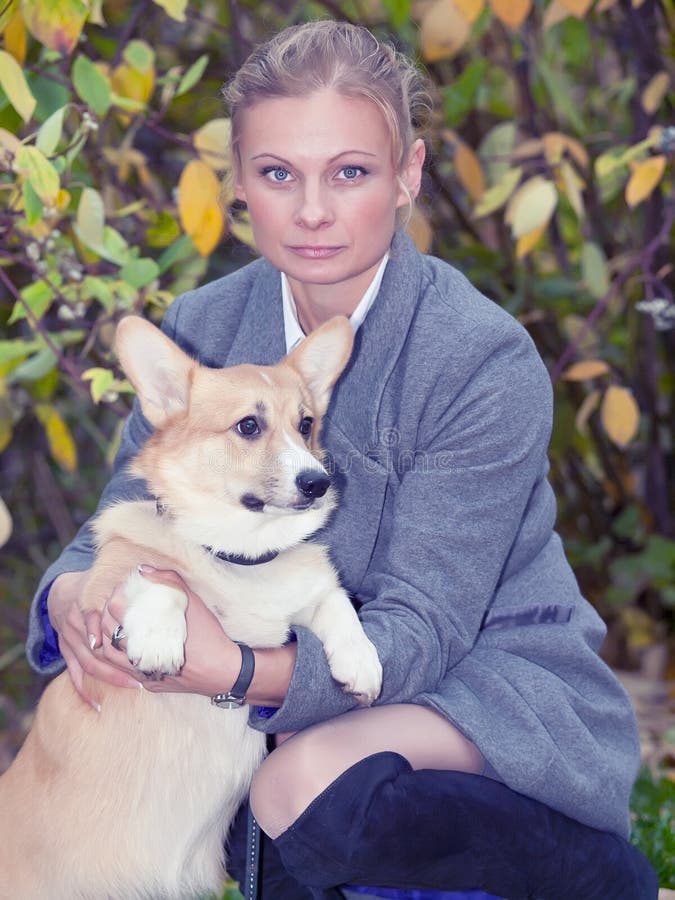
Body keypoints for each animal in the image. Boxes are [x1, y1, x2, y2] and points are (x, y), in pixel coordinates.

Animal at [0, 312, 380, 896]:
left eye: (306, 424)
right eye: (248, 426)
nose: (317, 483)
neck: (243, 556)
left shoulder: (310, 596)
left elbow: (337, 604)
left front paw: (360, 661)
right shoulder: (102, 592)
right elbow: (158, 575)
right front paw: (159, 639)